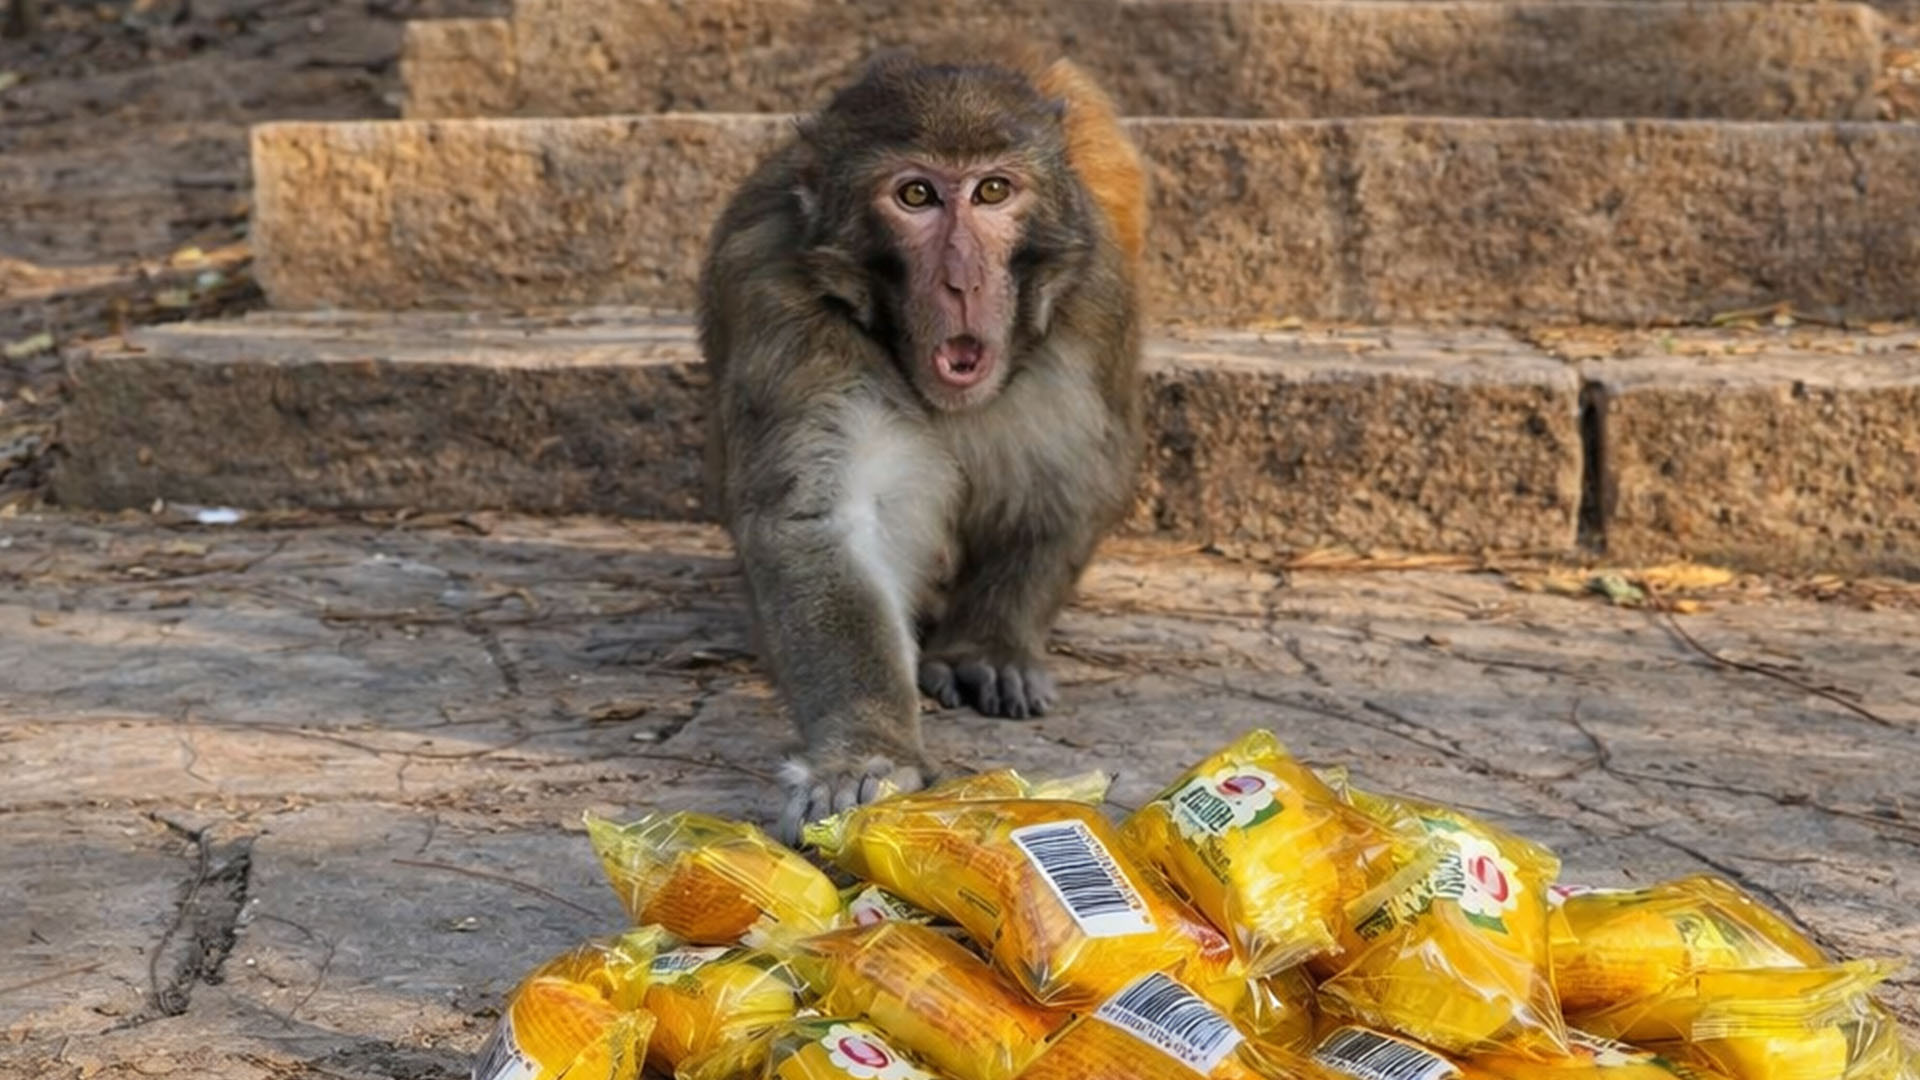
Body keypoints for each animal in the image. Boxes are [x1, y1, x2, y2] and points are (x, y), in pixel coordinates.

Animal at [696, 43, 1149, 841]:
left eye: (994, 190)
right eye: (915, 197)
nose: (963, 280)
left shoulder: (1098, 300)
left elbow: (1074, 476)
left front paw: (988, 648)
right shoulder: (780, 307)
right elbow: (820, 521)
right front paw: (867, 751)